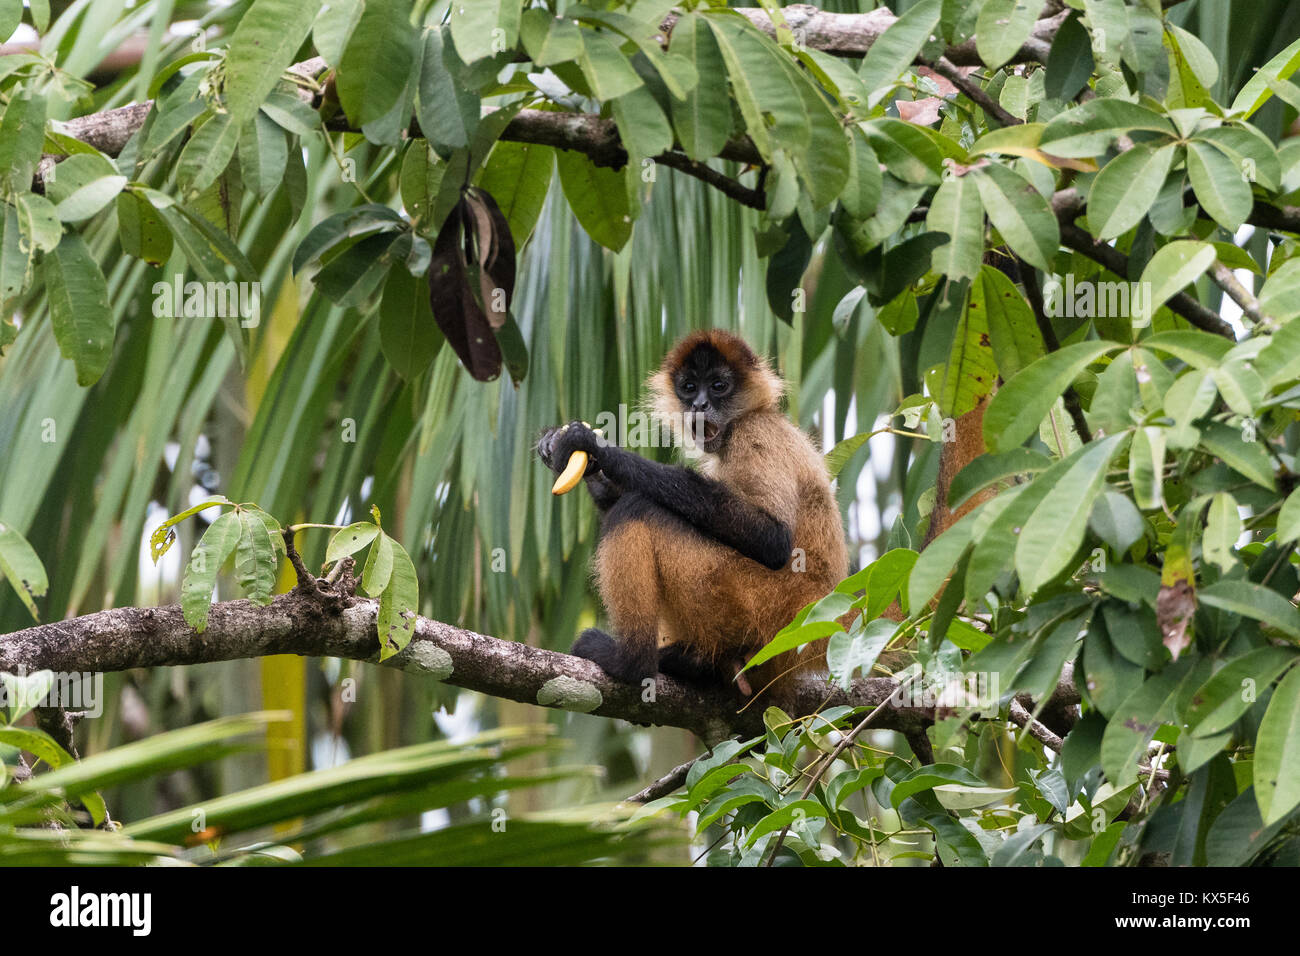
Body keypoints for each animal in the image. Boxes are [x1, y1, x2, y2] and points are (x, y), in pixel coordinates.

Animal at [536, 329, 848, 702]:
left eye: (717, 386)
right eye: (688, 387)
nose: (699, 405)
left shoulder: (756, 433)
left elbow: (773, 539)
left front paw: (597, 447)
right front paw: (573, 456)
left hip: (752, 599)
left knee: (637, 509)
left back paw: (632, 663)